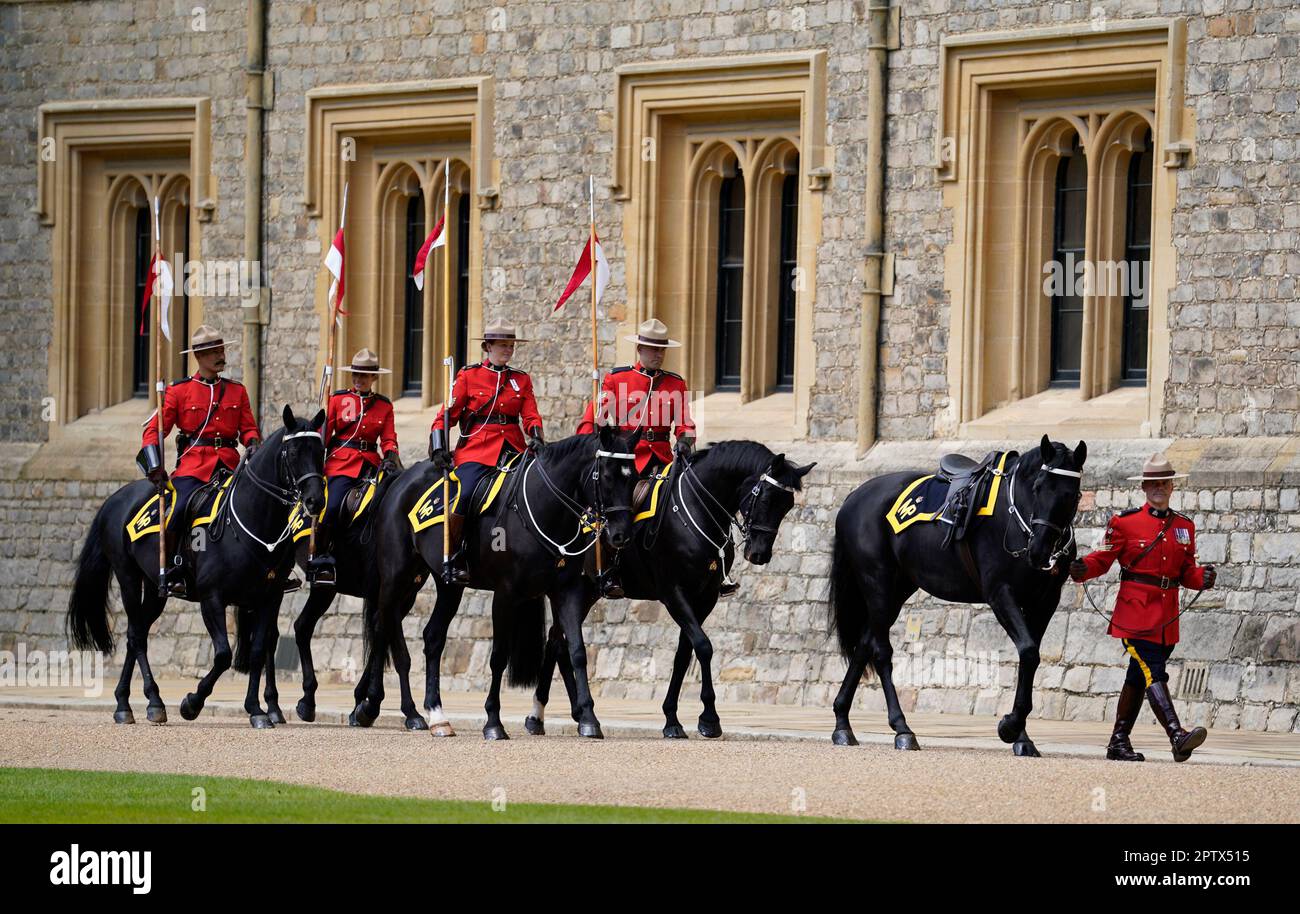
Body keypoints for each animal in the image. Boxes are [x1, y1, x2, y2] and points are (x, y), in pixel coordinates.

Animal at [67, 405, 327, 729]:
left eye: (321, 451)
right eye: (292, 452)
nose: (315, 500)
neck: (253, 520)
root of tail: (115, 498)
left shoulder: (269, 597)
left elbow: (256, 651)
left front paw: (256, 709)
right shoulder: (211, 598)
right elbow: (223, 655)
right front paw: (192, 702)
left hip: (156, 589)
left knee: (136, 634)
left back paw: (127, 702)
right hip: (128, 578)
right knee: (137, 635)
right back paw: (148, 702)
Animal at [352, 424, 643, 739]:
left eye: (634, 477)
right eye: (607, 476)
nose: (621, 536)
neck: (546, 508)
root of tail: (401, 478)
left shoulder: (566, 592)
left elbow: (576, 651)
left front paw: (588, 717)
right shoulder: (505, 594)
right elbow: (499, 656)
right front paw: (493, 721)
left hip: (446, 584)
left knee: (431, 637)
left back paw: (434, 713)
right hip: (398, 576)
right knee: (384, 626)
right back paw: (391, 709)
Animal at [528, 440, 816, 739]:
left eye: (787, 505)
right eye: (767, 498)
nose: (759, 554)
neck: (696, 510)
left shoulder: (704, 598)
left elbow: (684, 654)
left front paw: (672, 719)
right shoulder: (673, 593)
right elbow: (704, 647)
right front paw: (709, 719)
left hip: (583, 594)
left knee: (557, 640)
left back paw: (568, 713)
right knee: (557, 642)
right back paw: (550, 715)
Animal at [828, 434, 1086, 756]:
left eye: (1073, 495)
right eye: (1038, 486)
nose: (1039, 552)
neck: (1014, 517)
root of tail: (854, 497)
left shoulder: (1045, 601)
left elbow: (1031, 657)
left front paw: (1022, 736)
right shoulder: (1000, 593)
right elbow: (1028, 651)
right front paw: (1010, 726)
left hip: (896, 590)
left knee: (864, 644)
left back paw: (842, 723)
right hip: (878, 585)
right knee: (880, 651)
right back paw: (902, 728)